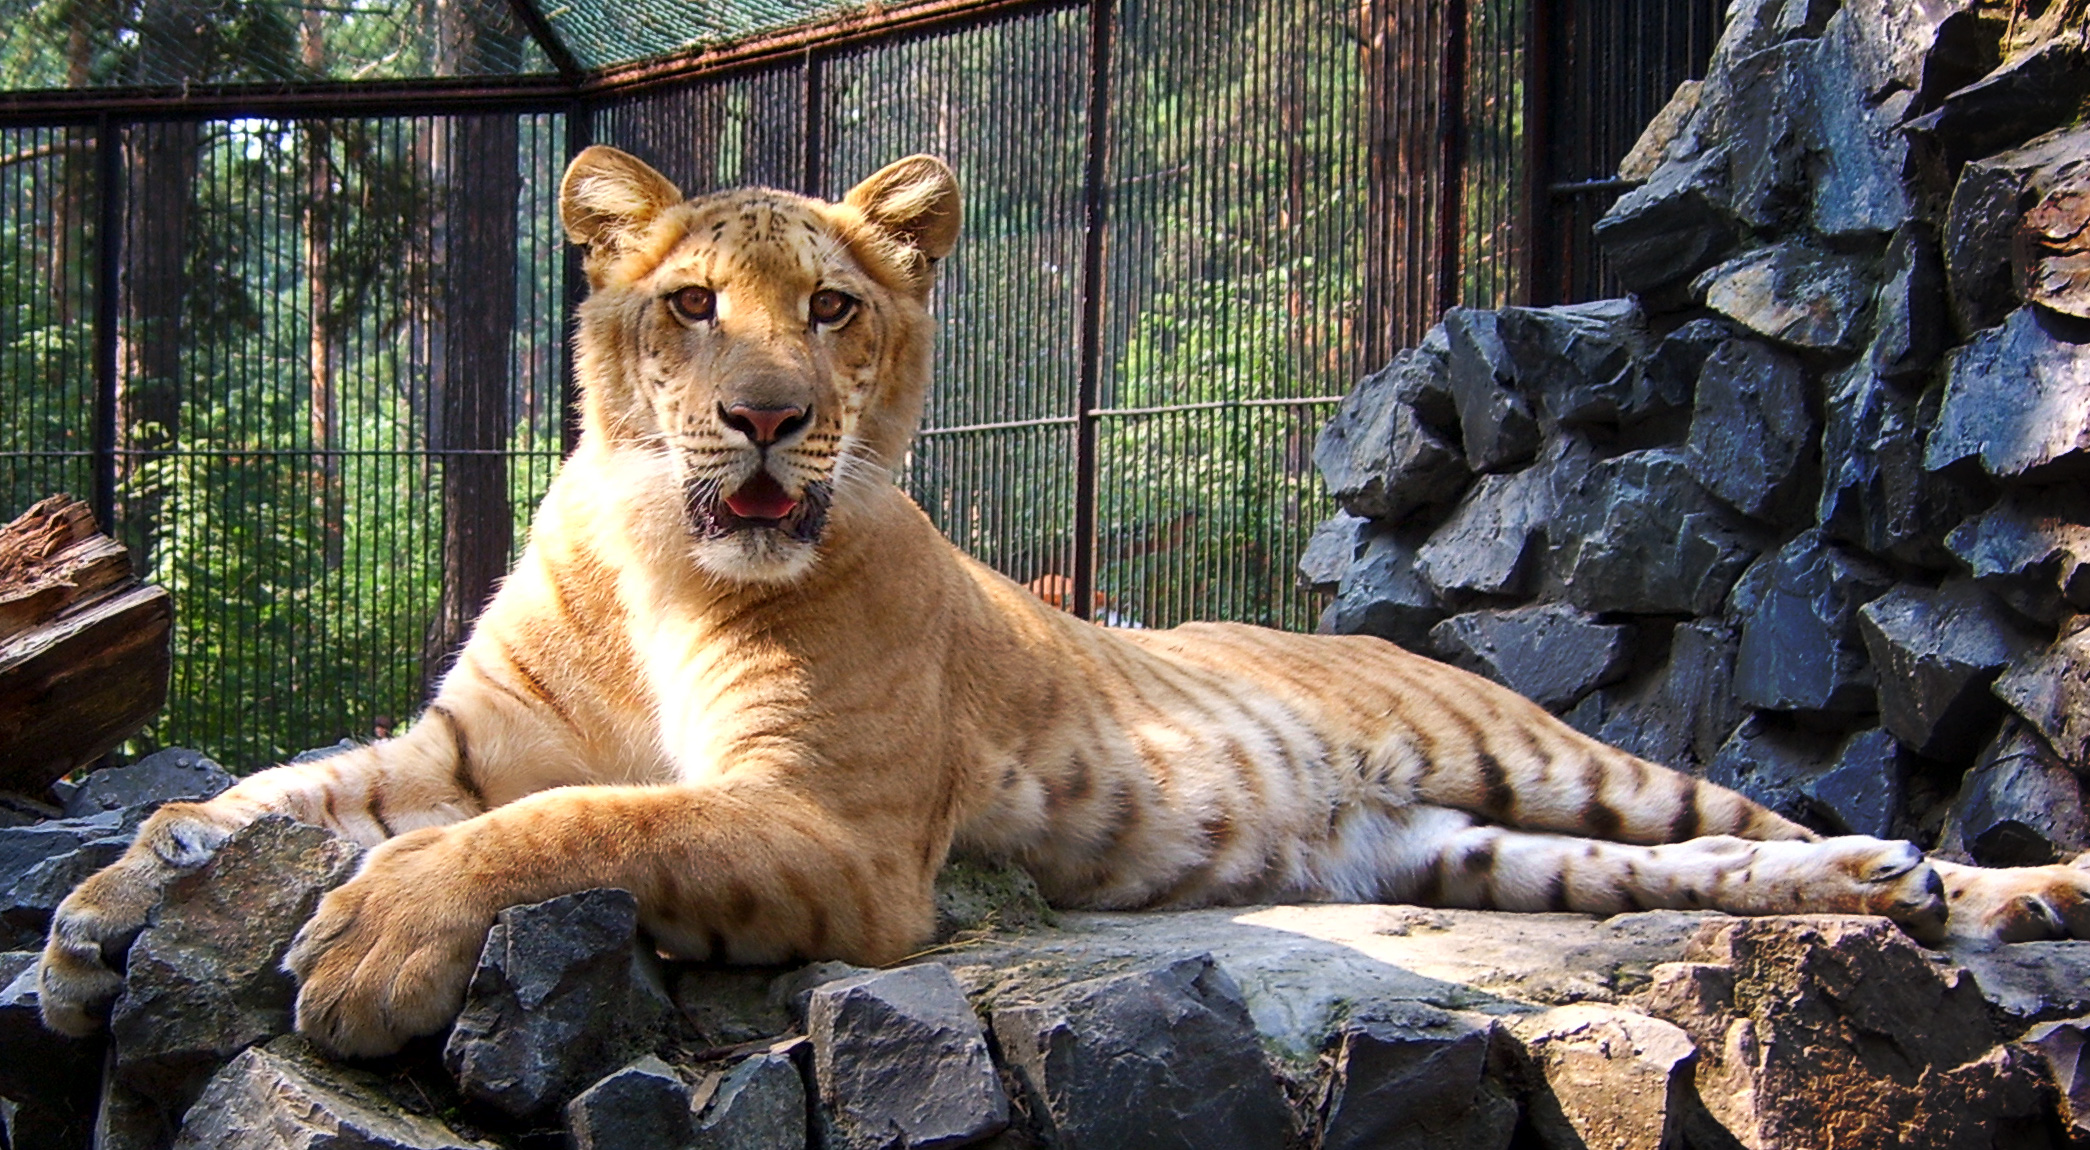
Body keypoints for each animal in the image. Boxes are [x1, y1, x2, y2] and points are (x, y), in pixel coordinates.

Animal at [40, 145, 2090, 1059]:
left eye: (835, 309)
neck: (655, 559)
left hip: (1547, 753)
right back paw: (1895, 896)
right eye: (691, 307)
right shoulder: (461, 745)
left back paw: (2002, 892)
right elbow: (269, 794)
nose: (767, 415)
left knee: (1760, 814)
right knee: (1714, 870)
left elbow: (578, 825)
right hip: (1483, 851)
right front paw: (94, 920)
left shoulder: (840, 837)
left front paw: (371, 946)